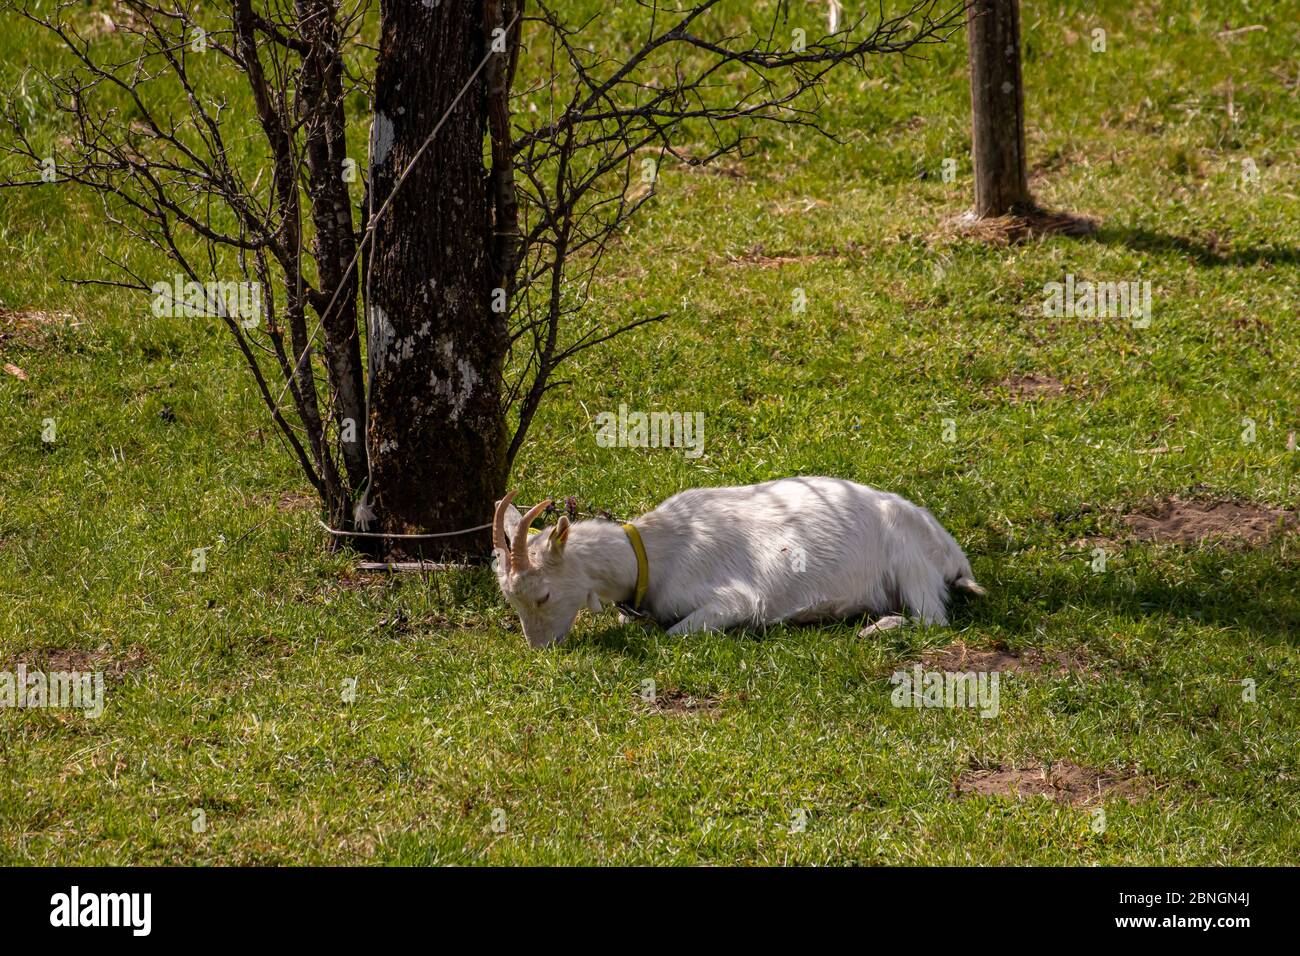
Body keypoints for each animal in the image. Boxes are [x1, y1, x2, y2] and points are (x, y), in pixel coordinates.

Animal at [492, 476, 984, 648]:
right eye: (510, 600)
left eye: (543, 595)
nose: (539, 649)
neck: (653, 551)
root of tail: (952, 554)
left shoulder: (734, 599)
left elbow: (674, 633)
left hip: (910, 562)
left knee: (932, 620)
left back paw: (873, 628)